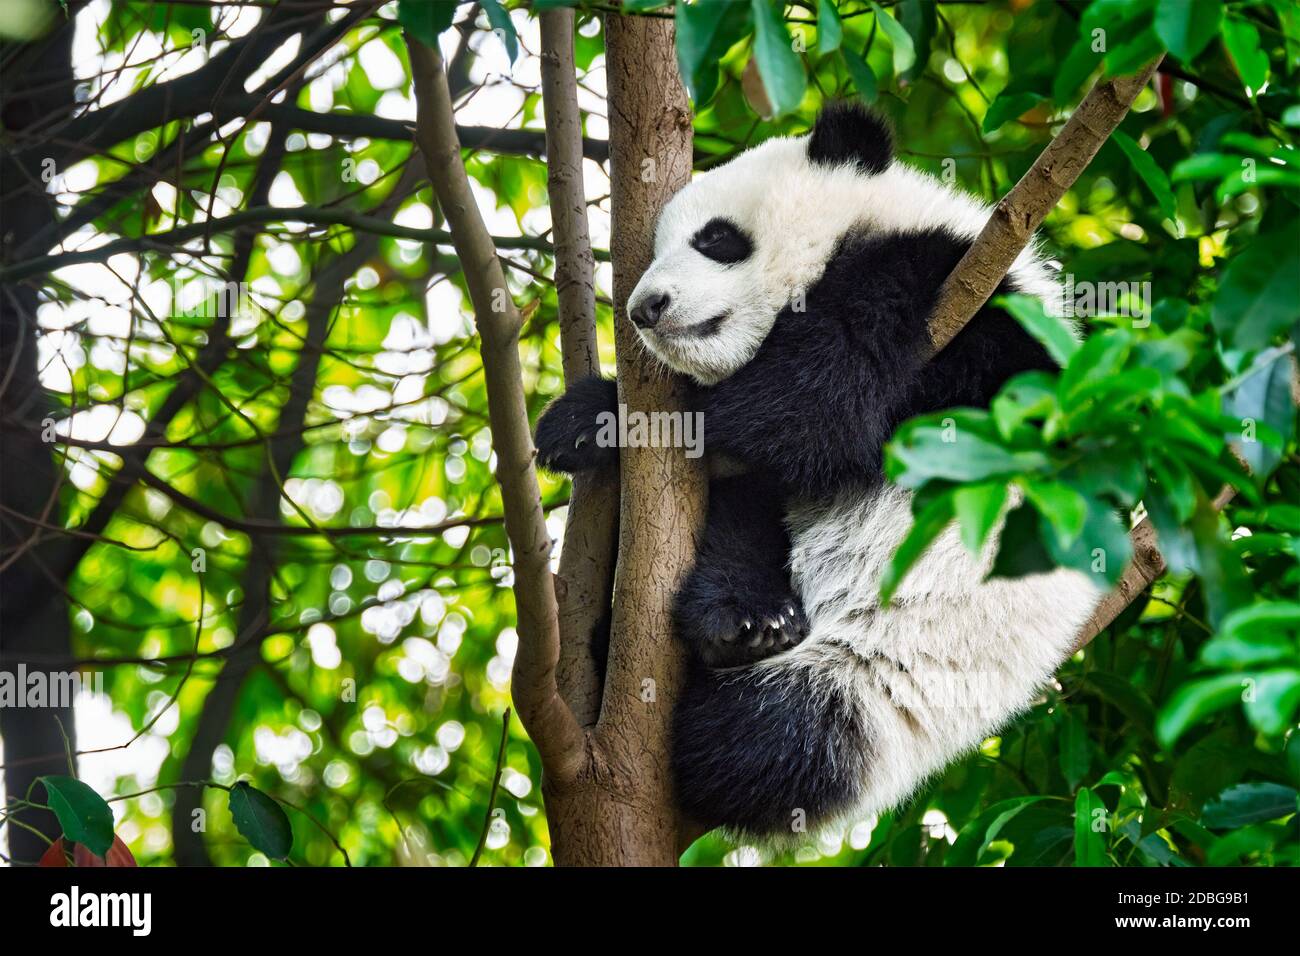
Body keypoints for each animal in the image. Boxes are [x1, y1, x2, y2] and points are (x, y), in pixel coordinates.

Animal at [535, 102, 1104, 839]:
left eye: (716, 239)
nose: (645, 309)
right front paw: (575, 426)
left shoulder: (954, 297)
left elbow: (814, 404)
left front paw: (622, 414)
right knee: (745, 525)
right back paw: (745, 622)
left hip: (881, 686)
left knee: (765, 741)